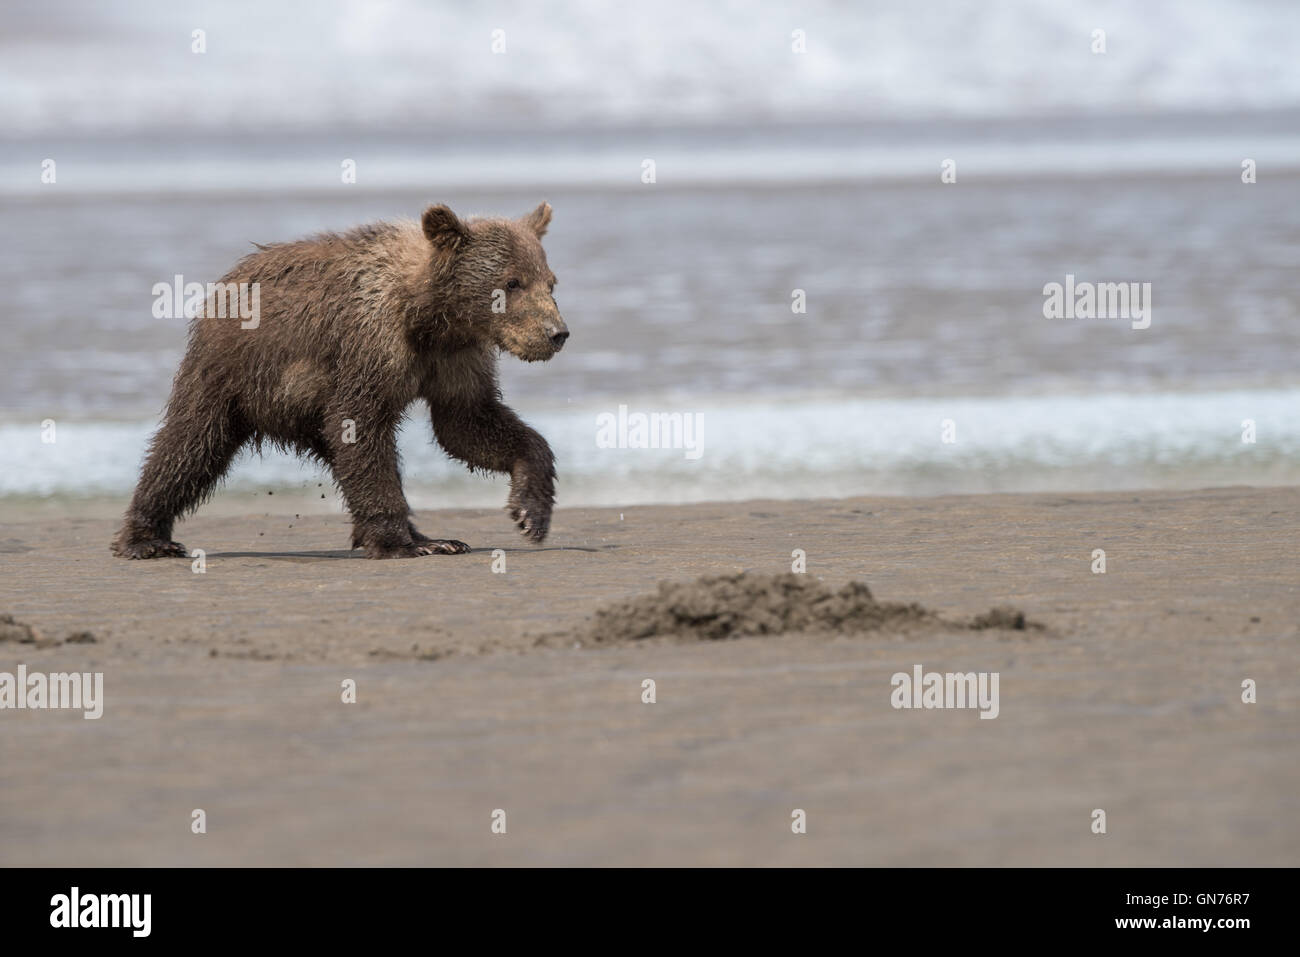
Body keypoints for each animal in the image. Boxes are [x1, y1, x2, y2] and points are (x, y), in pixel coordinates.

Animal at [111, 202, 567, 560]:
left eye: (550, 282)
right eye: (511, 281)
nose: (556, 333)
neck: (429, 317)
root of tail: (224, 284)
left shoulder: (457, 356)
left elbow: (468, 422)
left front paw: (530, 511)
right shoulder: (368, 345)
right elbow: (360, 424)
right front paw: (400, 542)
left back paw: (428, 534)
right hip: (231, 371)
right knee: (191, 444)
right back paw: (145, 538)